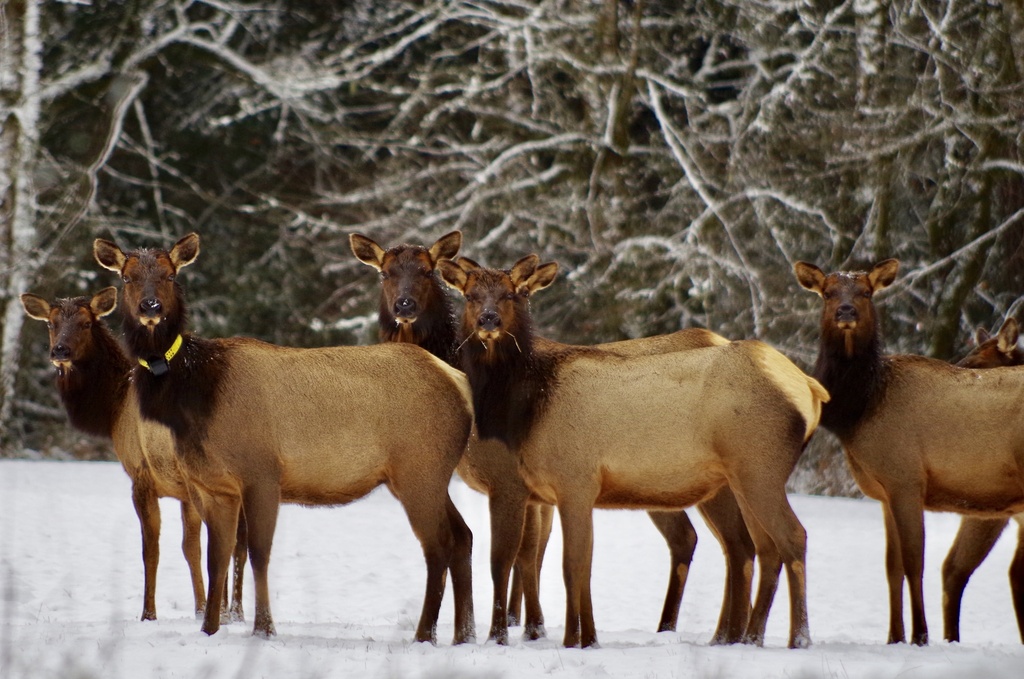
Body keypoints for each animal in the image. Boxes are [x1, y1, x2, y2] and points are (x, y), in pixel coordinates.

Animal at [20, 287, 247, 624]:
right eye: (51, 322)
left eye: (86, 323)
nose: (60, 350)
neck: (113, 405)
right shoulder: (181, 488)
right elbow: (189, 547)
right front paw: (199, 607)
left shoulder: (141, 474)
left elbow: (150, 549)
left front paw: (148, 614)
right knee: (241, 540)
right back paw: (237, 612)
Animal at [93, 232, 476, 644]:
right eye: (128, 277)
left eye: (169, 274)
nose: (150, 306)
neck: (196, 399)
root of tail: (458, 380)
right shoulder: (213, 486)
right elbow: (216, 558)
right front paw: (209, 628)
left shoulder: (261, 472)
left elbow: (258, 553)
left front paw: (264, 628)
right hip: (429, 475)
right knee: (463, 535)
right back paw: (464, 634)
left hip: (419, 469)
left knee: (438, 544)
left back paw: (425, 634)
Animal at [350, 230, 757, 646]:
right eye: (384, 272)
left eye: (426, 271)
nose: (405, 305)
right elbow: (532, 554)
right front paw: (532, 626)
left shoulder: (511, 478)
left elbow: (516, 554)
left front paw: (517, 629)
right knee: (700, 539)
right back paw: (690, 630)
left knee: (723, 542)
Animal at [439, 254, 828, 649]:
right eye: (470, 295)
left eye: (512, 293)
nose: (489, 320)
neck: (530, 408)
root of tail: (811, 388)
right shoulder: (553, 491)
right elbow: (575, 565)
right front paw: (585, 637)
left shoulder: (574, 480)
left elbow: (572, 565)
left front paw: (576, 640)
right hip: (739, 479)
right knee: (762, 547)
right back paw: (748, 637)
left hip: (760, 468)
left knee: (792, 537)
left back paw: (798, 638)